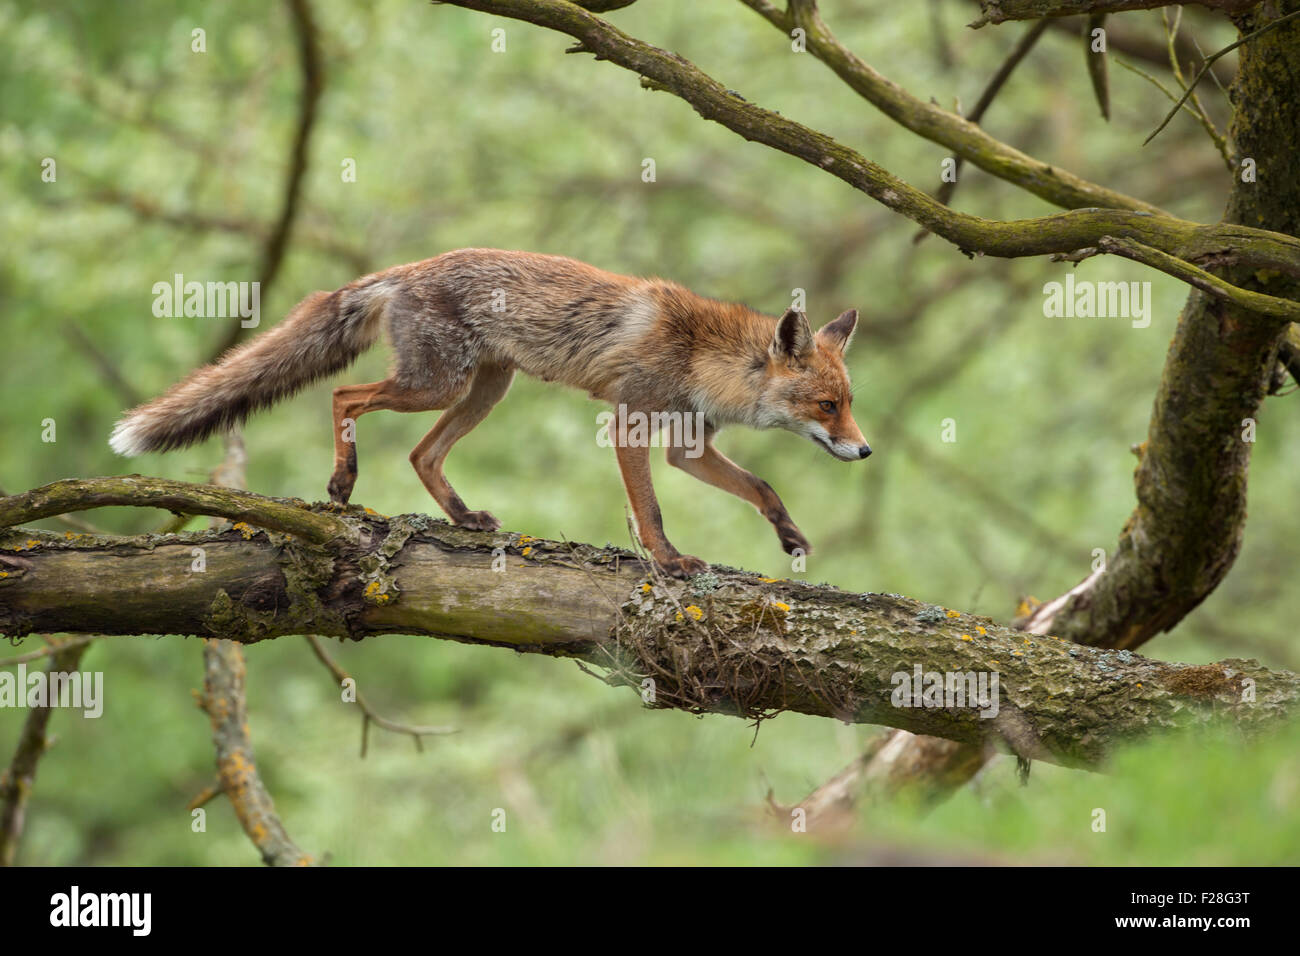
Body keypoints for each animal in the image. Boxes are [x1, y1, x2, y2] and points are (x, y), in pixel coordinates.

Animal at [109, 249, 871, 577]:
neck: (701, 355)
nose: (864, 452)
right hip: (437, 385)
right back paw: (343, 481)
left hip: (483, 391)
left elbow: (762, 486)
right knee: (344, 396)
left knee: (420, 453)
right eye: (828, 405)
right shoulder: (630, 422)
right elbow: (650, 513)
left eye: (850, 405)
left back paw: (462, 517)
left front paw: (790, 537)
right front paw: (669, 560)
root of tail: (407, 269)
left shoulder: (690, 446)